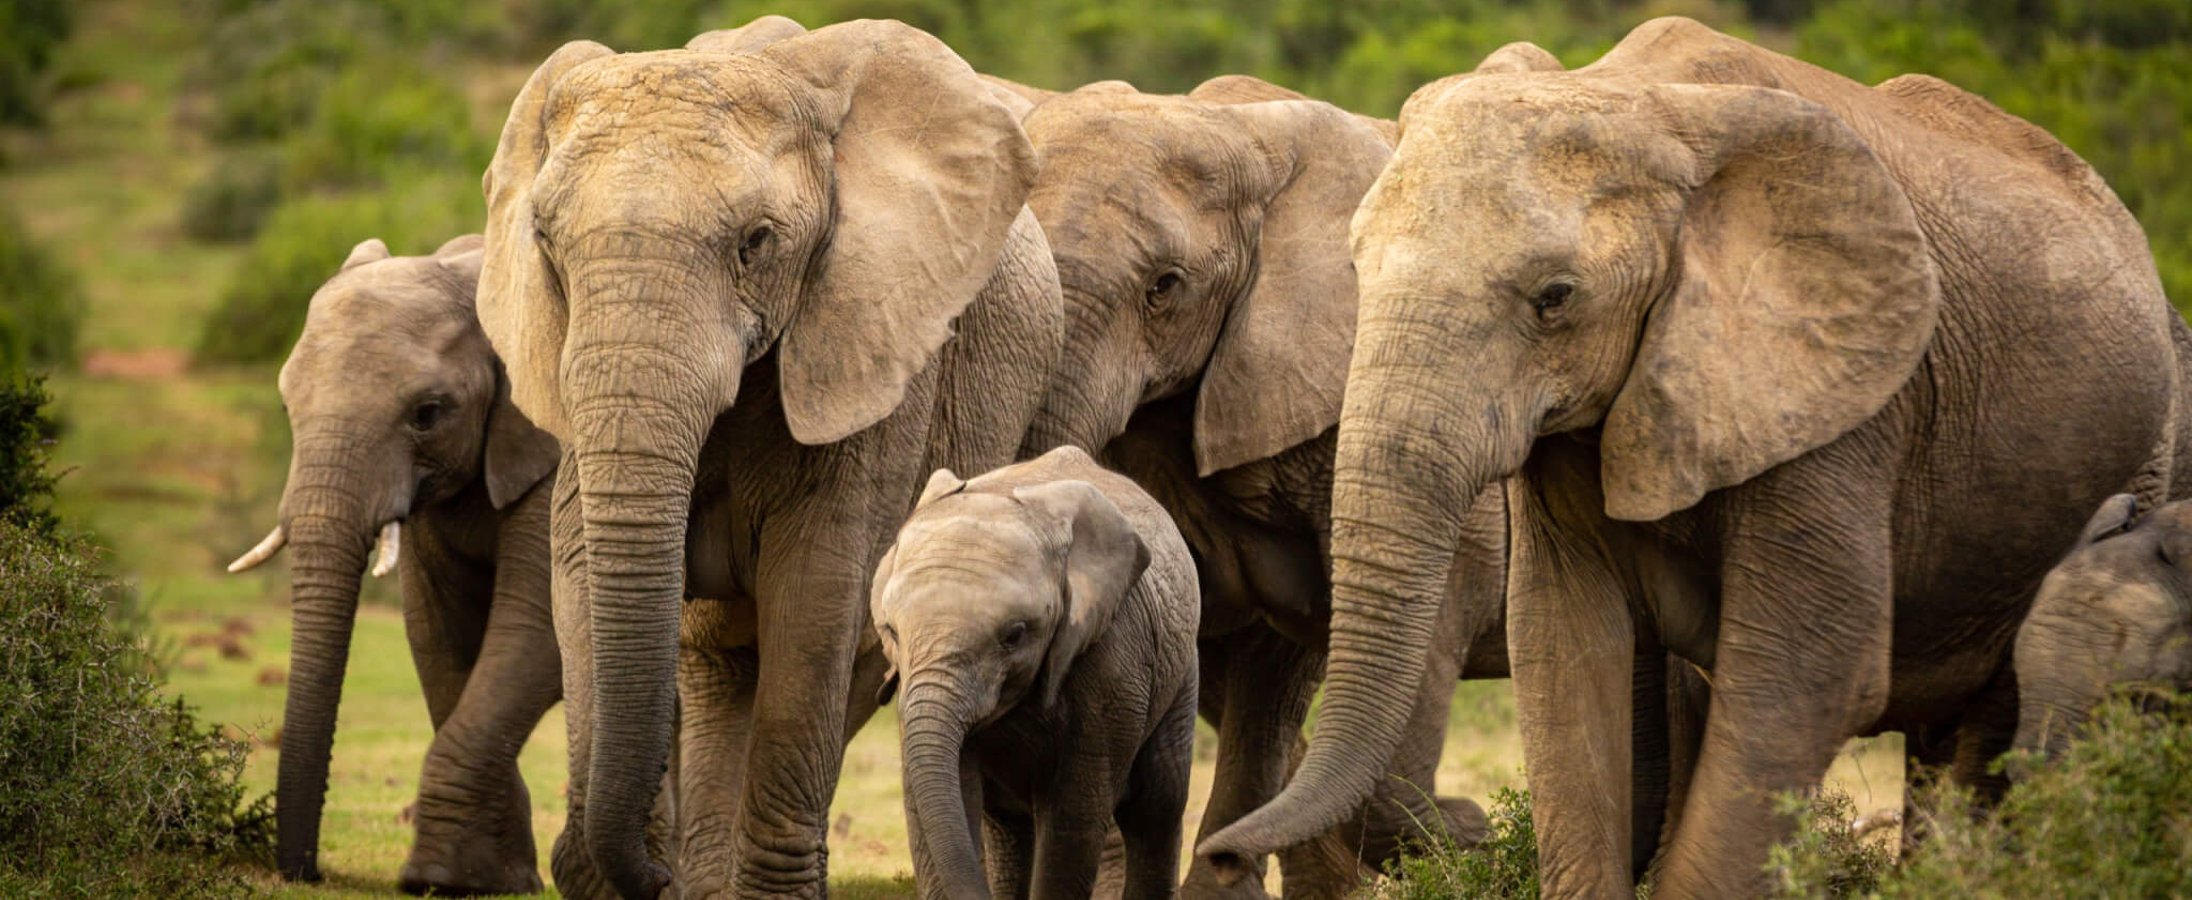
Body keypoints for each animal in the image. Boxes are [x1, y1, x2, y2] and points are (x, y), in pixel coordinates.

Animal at [227, 234, 562, 894]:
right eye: (287, 405)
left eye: (428, 413)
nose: (308, 872)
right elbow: (438, 637)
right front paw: (492, 881)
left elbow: (538, 630)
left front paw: (443, 876)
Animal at [476, 19, 1062, 899]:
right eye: (546, 243)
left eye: (755, 244)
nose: (657, 874)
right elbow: (578, 572)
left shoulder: (870, 345)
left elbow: (817, 593)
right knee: (717, 665)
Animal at [872, 446, 1199, 900]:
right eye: (891, 632)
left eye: (1014, 635)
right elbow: (933, 802)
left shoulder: (1112, 660)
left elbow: (1073, 816)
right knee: (1007, 826)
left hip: (1181, 668)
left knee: (1157, 805)